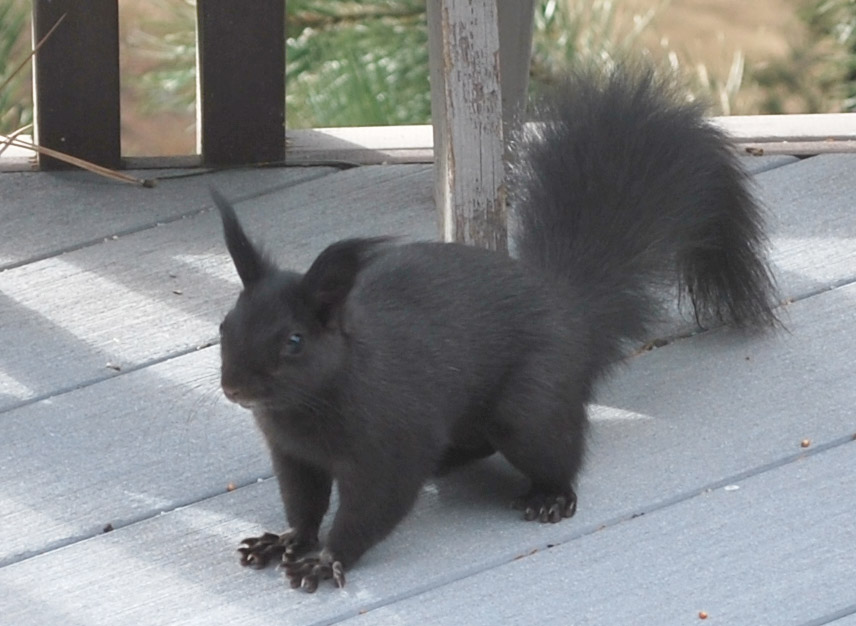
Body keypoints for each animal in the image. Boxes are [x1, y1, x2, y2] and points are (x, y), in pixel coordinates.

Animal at [212, 65, 778, 593]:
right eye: (225, 324)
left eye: (294, 341)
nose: (234, 387)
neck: (307, 405)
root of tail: (569, 307)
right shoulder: (292, 456)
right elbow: (303, 504)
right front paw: (285, 540)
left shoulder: (391, 441)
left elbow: (371, 508)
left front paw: (328, 559)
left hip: (528, 406)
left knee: (558, 449)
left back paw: (551, 496)